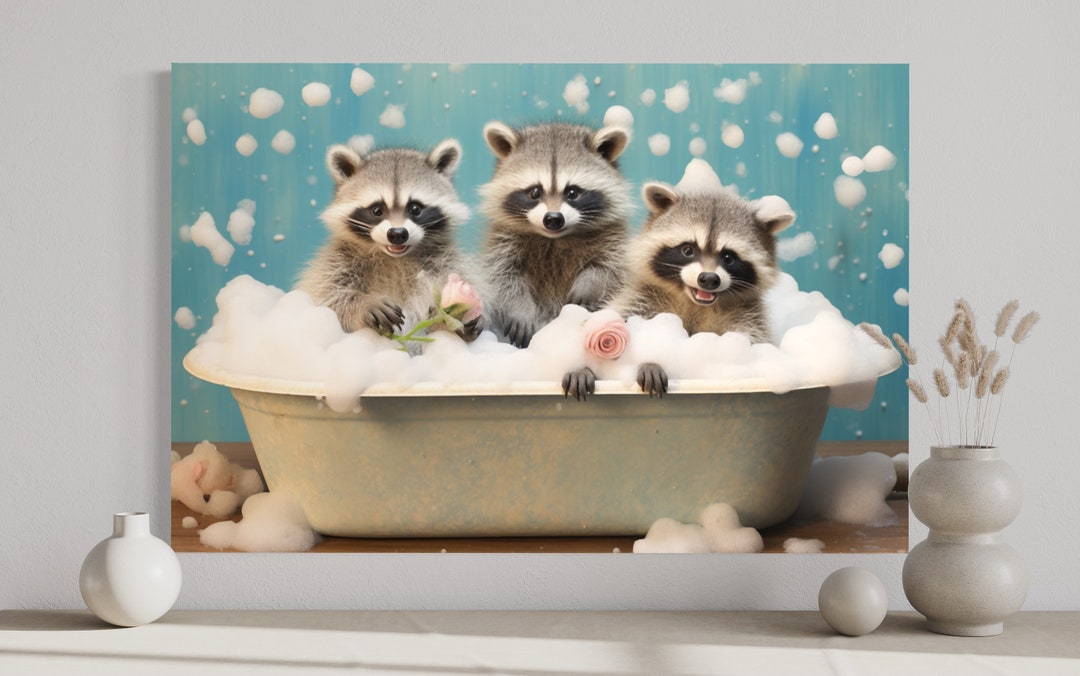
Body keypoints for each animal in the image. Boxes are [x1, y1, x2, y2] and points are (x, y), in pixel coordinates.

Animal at [297, 139, 483, 341]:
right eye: (377, 210)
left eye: (415, 208)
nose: (397, 234)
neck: (395, 259)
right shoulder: (337, 261)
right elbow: (327, 298)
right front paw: (363, 303)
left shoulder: (447, 262)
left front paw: (448, 319)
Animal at [479, 121, 632, 348]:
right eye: (535, 192)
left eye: (572, 193)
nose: (553, 218)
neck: (555, 239)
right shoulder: (502, 242)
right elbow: (502, 277)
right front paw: (520, 309)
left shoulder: (614, 239)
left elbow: (610, 269)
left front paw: (589, 284)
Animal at [562, 181, 795, 400]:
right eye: (687, 250)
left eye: (728, 257)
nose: (708, 279)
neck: (693, 302)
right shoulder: (641, 299)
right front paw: (586, 366)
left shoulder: (747, 316)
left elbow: (751, 347)